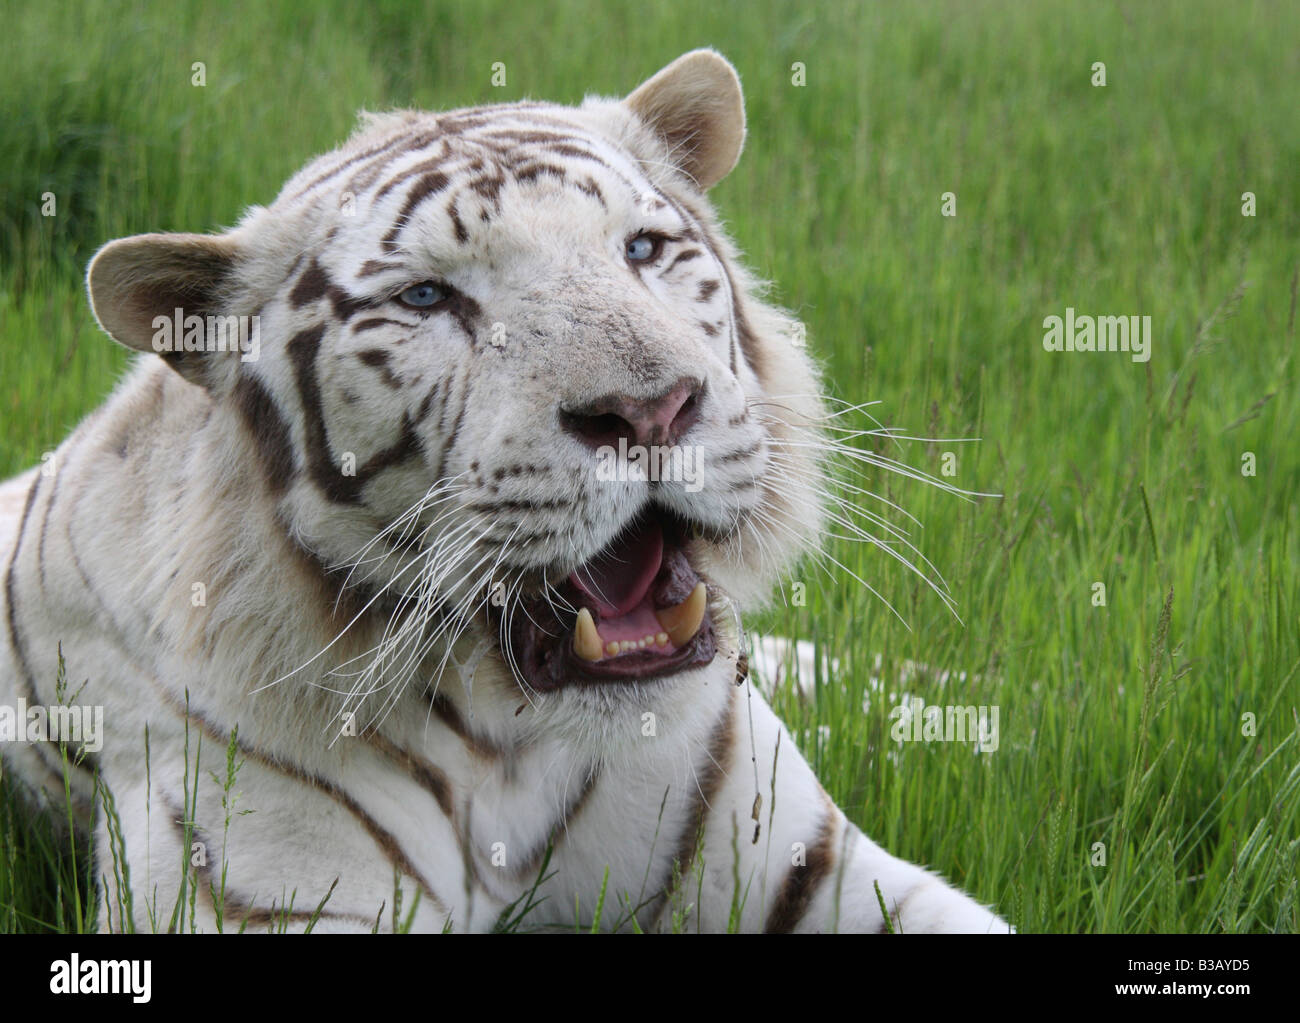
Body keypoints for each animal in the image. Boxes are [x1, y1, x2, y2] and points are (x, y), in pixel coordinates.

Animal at [0, 50, 1009, 933]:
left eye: (642, 248)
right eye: (426, 299)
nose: (649, 411)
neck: (516, 739)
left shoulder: (813, 861)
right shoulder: (267, 897)